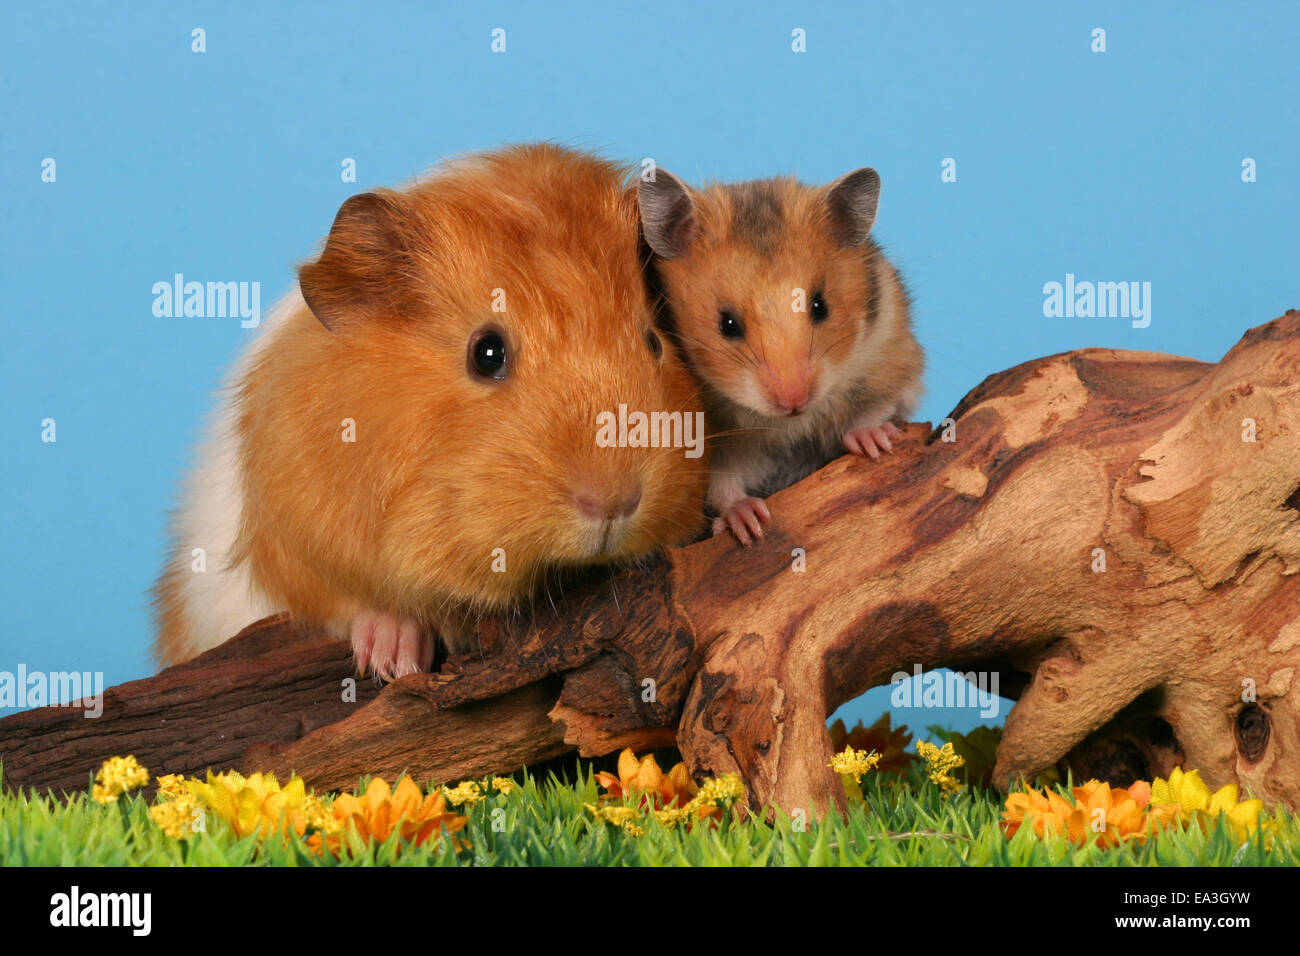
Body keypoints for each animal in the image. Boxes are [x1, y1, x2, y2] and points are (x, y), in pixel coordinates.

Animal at [638, 166, 923, 544]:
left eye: (820, 306)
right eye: (727, 324)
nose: (794, 402)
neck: (787, 425)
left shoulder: (890, 358)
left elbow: (874, 410)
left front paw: (875, 442)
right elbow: (722, 486)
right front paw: (747, 524)